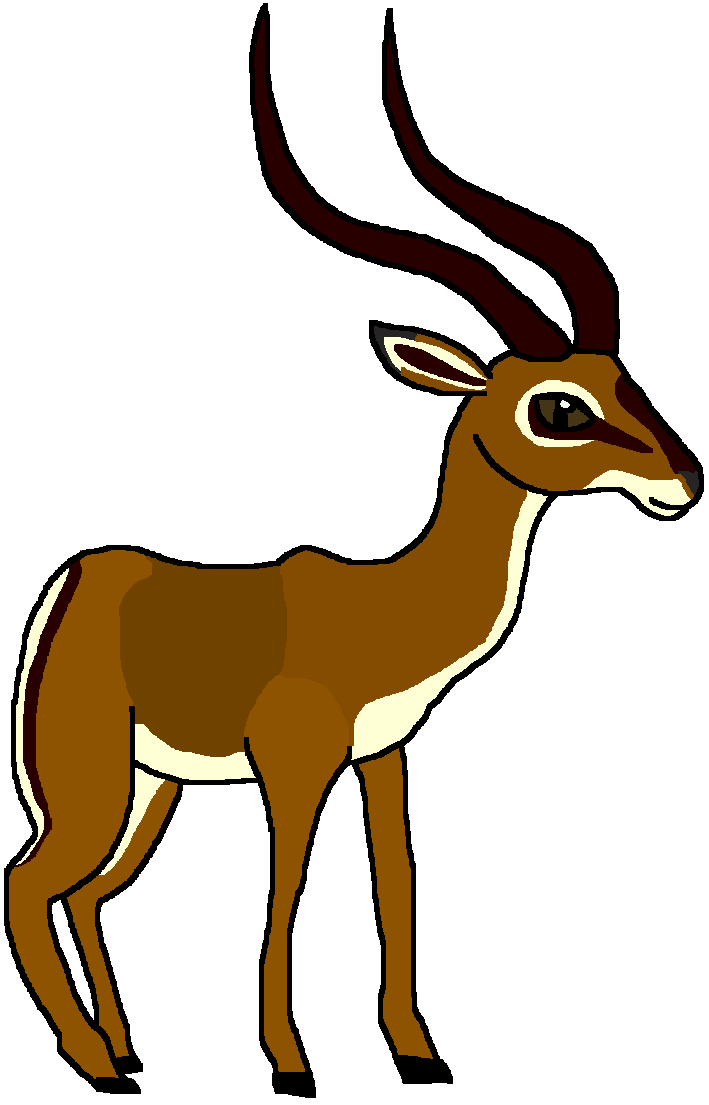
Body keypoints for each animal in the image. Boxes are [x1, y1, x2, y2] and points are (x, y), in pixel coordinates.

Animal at [9, 19, 698, 1079]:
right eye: (557, 408)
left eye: (620, 381)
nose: (681, 481)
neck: (391, 603)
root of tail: (80, 579)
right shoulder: (295, 767)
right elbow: (288, 887)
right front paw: (286, 1052)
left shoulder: (384, 758)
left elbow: (396, 882)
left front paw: (411, 1044)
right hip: (91, 779)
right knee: (28, 884)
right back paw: (89, 1053)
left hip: (150, 786)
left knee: (84, 894)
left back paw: (120, 1042)